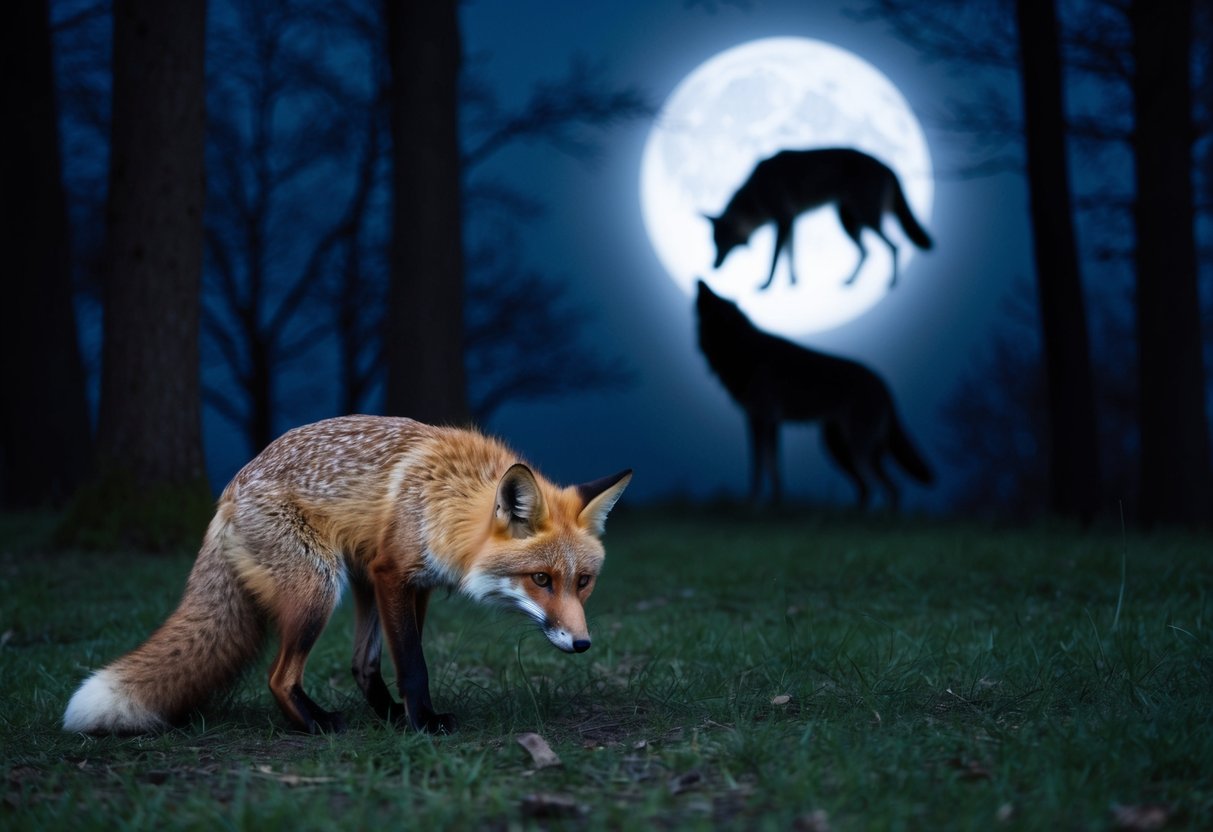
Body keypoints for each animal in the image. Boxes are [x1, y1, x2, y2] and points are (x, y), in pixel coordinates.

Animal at [62, 415, 631, 735]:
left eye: (582, 582)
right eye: (541, 579)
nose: (582, 644)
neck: (447, 498)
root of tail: (230, 489)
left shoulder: (412, 584)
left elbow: (395, 661)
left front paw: (410, 718)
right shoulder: (393, 573)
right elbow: (415, 665)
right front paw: (425, 726)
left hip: (355, 584)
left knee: (360, 664)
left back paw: (383, 716)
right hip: (318, 590)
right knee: (279, 676)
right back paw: (317, 725)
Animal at [695, 280, 932, 506]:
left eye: (714, 301)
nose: (700, 282)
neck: (742, 350)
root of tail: (882, 383)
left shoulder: (765, 419)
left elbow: (765, 469)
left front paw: (761, 505)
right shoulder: (762, 422)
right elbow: (766, 468)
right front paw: (767, 503)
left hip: (854, 451)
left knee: (884, 489)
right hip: (838, 448)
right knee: (876, 488)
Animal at [706, 147, 933, 291]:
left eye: (721, 243)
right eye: (713, 243)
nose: (713, 267)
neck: (755, 194)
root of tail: (888, 167)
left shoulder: (784, 221)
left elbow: (774, 259)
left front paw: (766, 286)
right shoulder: (791, 223)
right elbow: (790, 255)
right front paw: (793, 283)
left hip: (865, 220)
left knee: (894, 247)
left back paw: (891, 285)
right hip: (848, 222)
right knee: (866, 252)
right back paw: (849, 282)